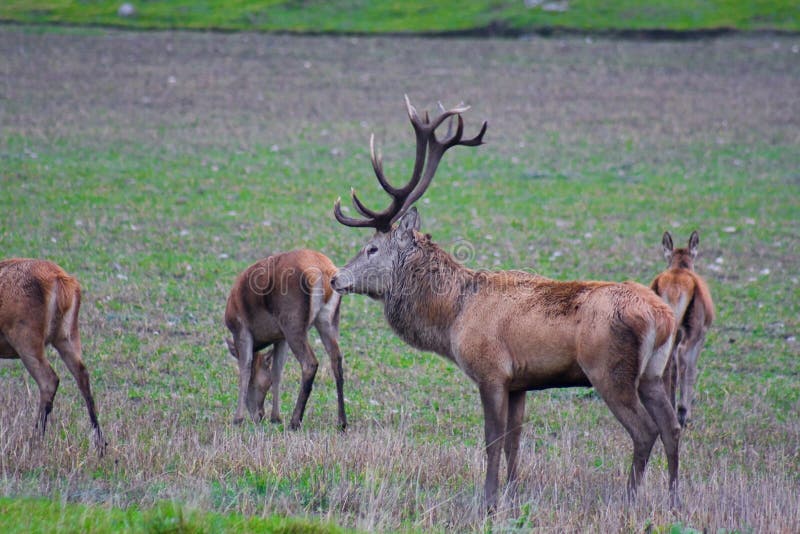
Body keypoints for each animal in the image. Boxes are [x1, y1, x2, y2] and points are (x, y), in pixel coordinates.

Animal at [0, 258, 106, 456]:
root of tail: (63, 282)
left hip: (25, 335)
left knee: (49, 379)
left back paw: (34, 442)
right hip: (67, 334)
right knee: (83, 375)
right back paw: (101, 445)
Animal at [224, 249, 347, 430]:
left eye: (260, 383)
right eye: (266, 383)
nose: (259, 415)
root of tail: (323, 272)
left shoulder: (241, 330)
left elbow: (244, 369)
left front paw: (237, 419)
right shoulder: (280, 337)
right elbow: (277, 371)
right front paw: (276, 417)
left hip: (293, 324)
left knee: (310, 363)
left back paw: (295, 421)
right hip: (328, 321)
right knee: (336, 359)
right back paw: (342, 422)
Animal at [330, 96, 681, 511]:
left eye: (371, 248)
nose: (335, 278)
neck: (453, 316)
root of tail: (664, 317)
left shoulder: (491, 371)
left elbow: (492, 440)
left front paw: (488, 500)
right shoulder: (520, 382)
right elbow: (515, 442)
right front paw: (513, 493)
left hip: (610, 369)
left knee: (645, 430)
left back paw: (629, 498)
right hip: (654, 372)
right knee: (672, 426)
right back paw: (675, 499)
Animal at [650, 231, 715, 428]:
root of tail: (675, 288)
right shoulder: (702, 335)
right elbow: (693, 367)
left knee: (667, 362)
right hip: (692, 330)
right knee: (682, 356)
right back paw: (682, 412)